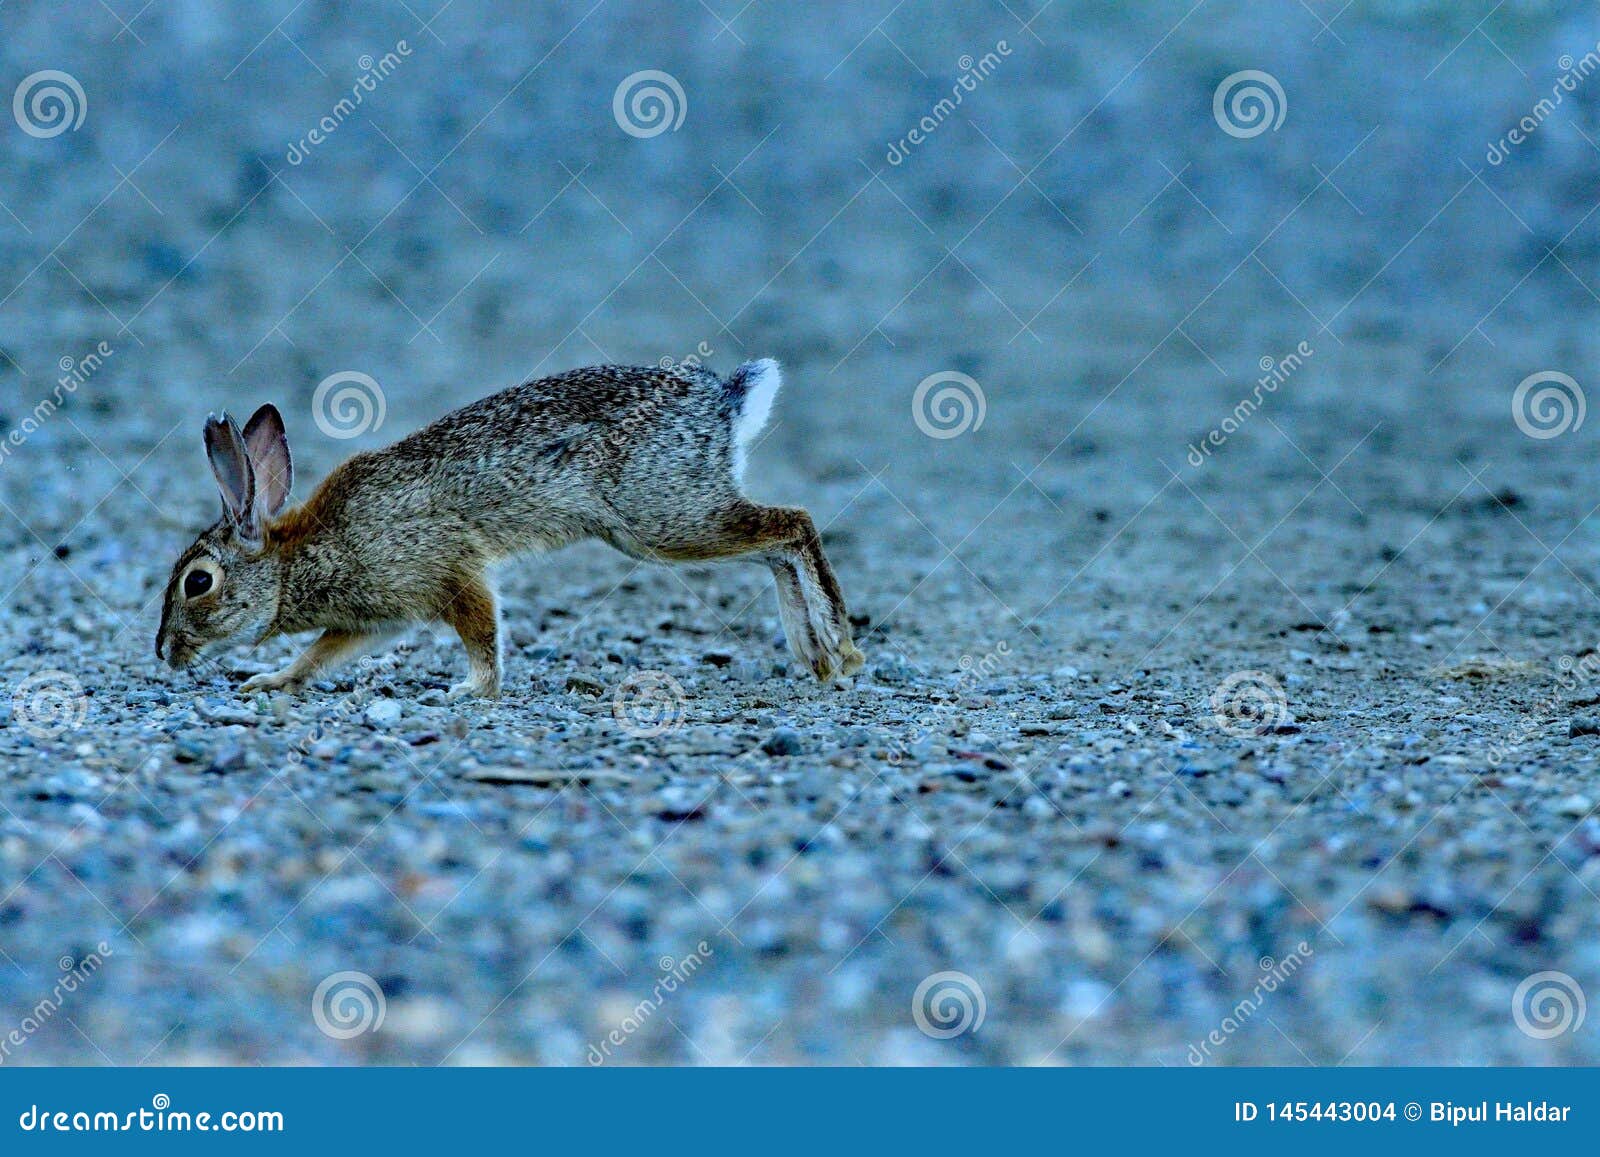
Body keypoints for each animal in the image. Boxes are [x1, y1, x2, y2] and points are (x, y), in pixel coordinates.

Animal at [154, 360, 866, 699]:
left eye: (197, 583)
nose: (162, 653)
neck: (295, 559)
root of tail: (724, 402)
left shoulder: (449, 568)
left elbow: (481, 631)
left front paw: (470, 691)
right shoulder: (374, 619)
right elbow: (320, 654)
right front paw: (272, 683)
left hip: (663, 518)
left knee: (793, 526)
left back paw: (840, 648)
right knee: (776, 545)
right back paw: (815, 655)